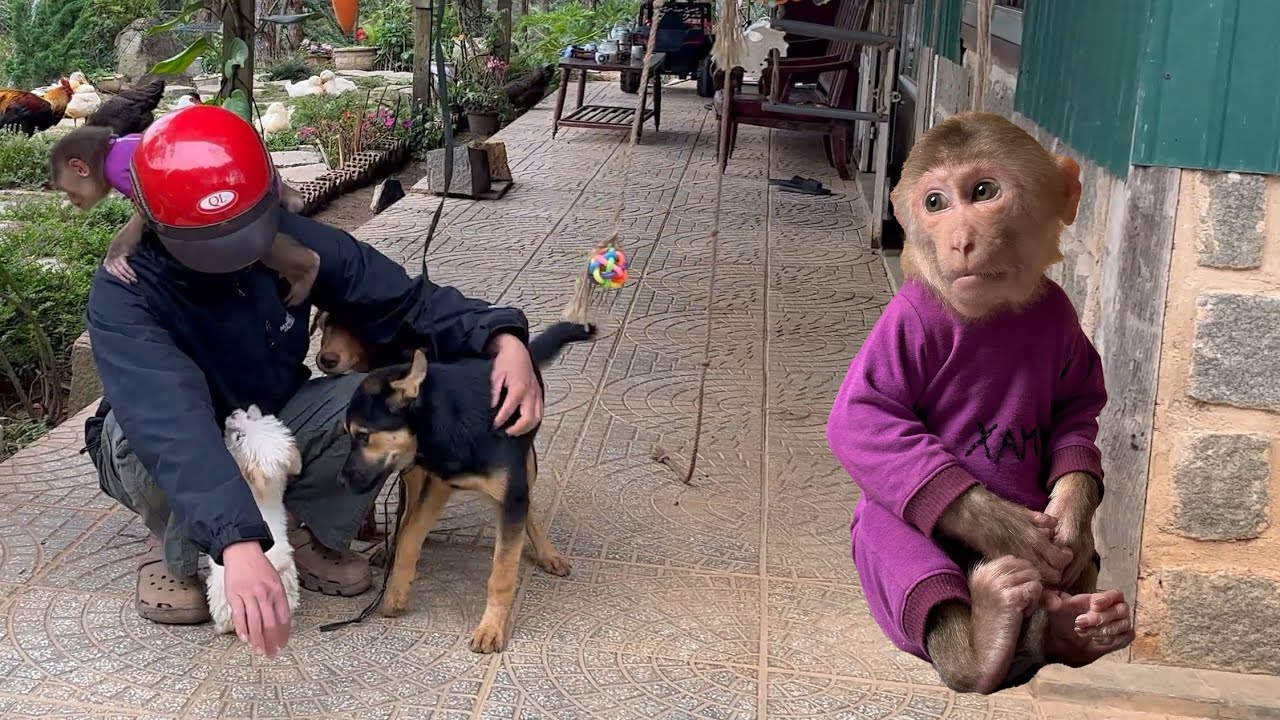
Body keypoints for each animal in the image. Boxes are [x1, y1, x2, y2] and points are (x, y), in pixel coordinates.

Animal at [825, 112, 1134, 694]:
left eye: (984, 192)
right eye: (935, 202)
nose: (961, 241)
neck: (990, 311)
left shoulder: (1061, 314)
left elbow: (1079, 411)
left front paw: (1069, 516)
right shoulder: (909, 322)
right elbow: (865, 420)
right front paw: (1014, 532)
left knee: (1080, 575)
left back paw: (1079, 628)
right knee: (894, 535)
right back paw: (984, 638)